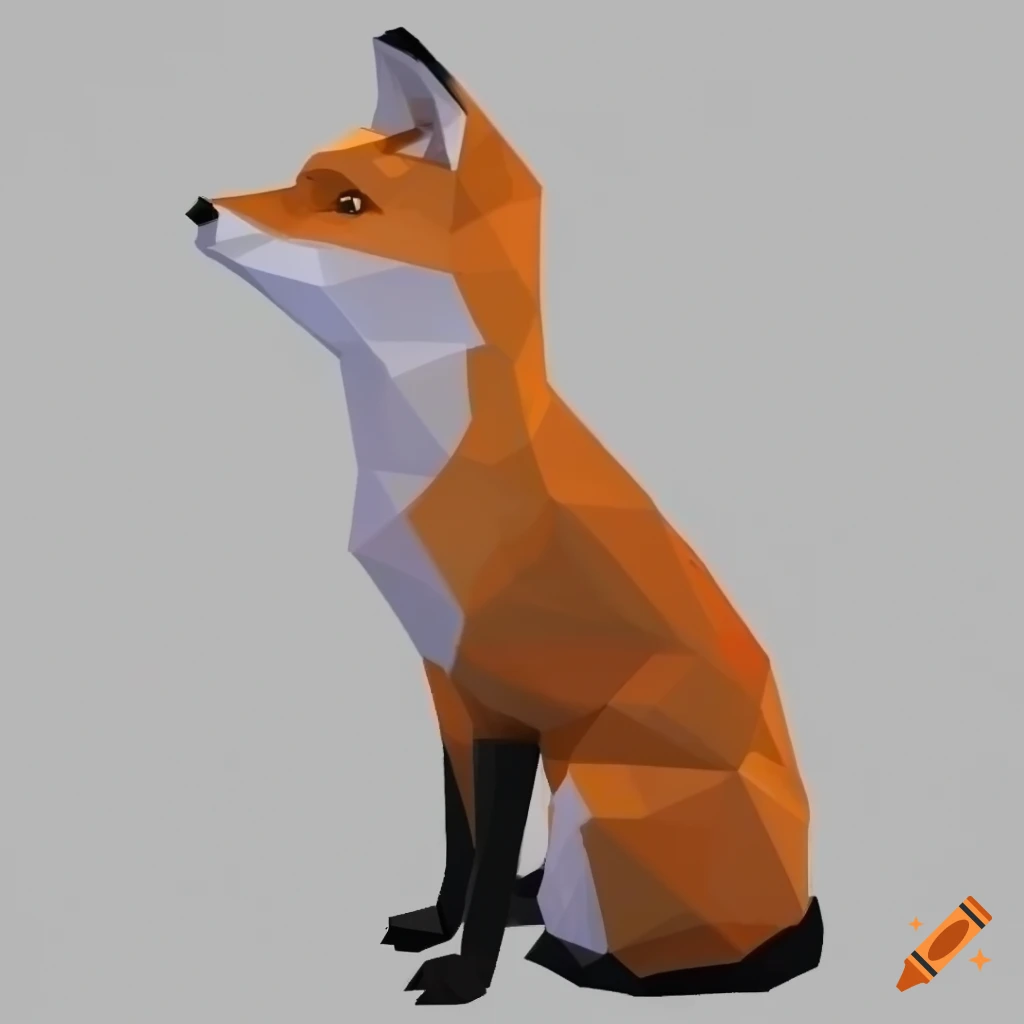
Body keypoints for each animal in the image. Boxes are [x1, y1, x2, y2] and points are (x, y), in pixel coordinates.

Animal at [187, 26, 823, 1006]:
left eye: (346, 201)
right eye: (302, 175)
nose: (198, 208)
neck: (425, 465)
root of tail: (802, 899)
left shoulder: (512, 703)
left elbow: (487, 870)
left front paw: (464, 976)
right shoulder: (448, 687)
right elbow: (464, 845)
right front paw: (434, 924)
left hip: (599, 804)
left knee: (671, 958)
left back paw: (575, 952)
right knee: (561, 896)